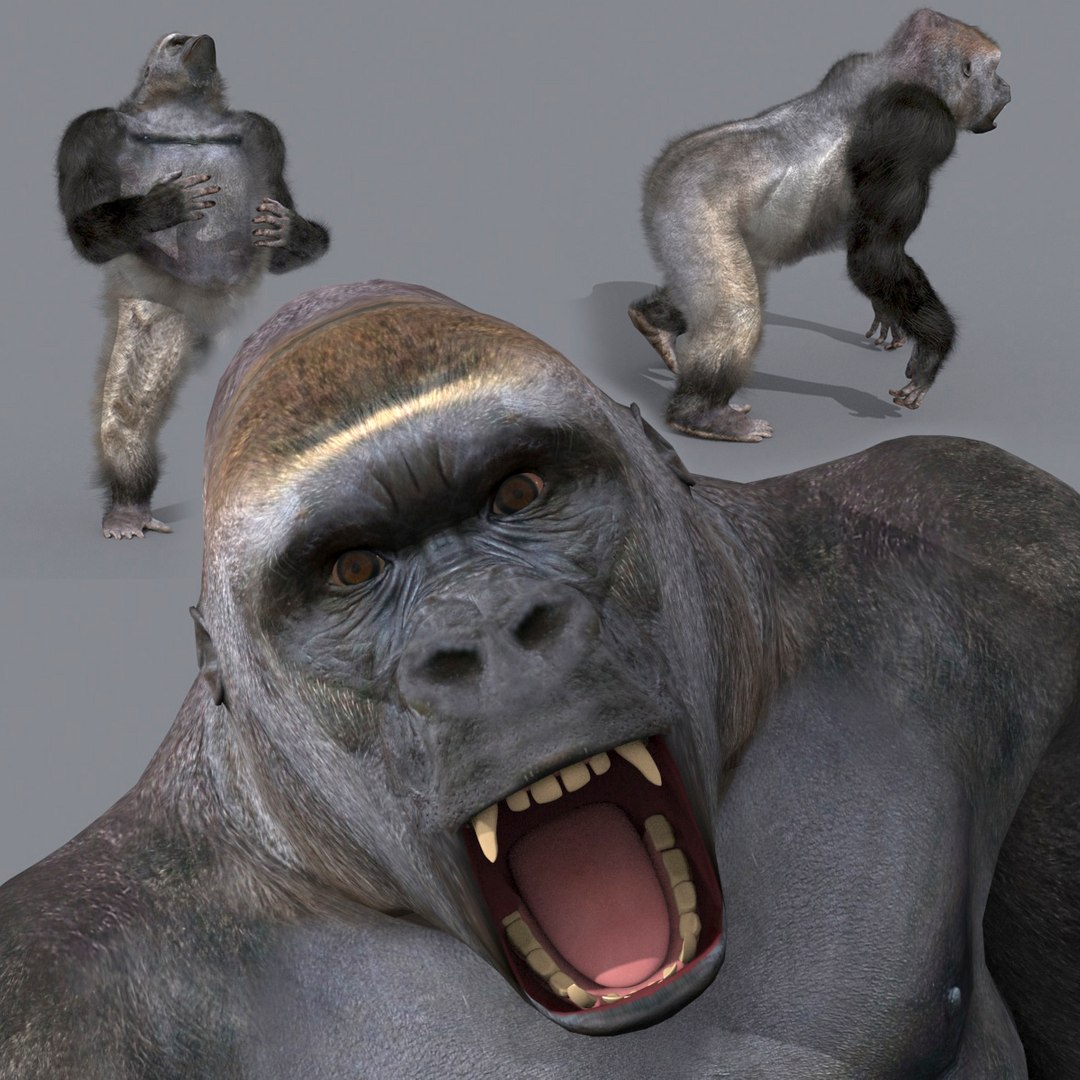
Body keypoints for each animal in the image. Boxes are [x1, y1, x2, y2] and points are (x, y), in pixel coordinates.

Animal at [57, 33, 330, 538]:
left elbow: (280, 242)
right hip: (167, 312)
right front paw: (157, 209)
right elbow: (84, 228)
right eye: (176, 41)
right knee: (128, 413)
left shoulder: (264, 134)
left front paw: (292, 232)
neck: (186, 114)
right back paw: (129, 509)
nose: (203, 40)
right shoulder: (90, 131)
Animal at [629, 9, 1011, 442]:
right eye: (994, 72)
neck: (903, 67)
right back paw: (701, 415)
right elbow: (875, 253)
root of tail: (661, 171)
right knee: (736, 312)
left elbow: (875, 261)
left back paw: (653, 322)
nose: (1006, 87)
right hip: (685, 205)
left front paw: (888, 312)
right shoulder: (917, 124)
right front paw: (933, 348)